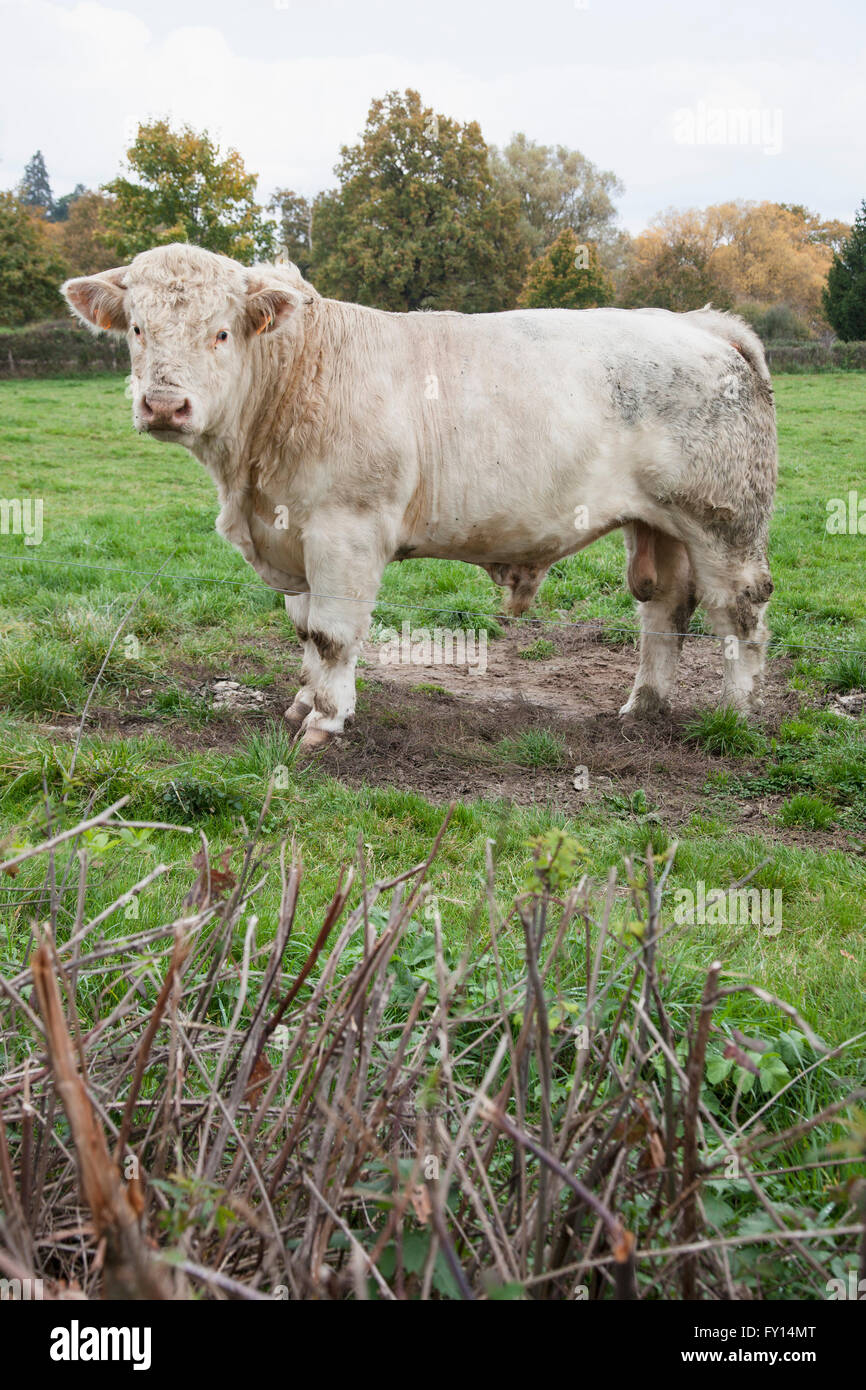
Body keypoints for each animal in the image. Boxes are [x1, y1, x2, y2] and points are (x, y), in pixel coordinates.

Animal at [62, 244, 777, 747]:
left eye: (221, 332)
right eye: (136, 329)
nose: (163, 404)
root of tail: (700, 323)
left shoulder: (344, 529)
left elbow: (331, 634)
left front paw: (325, 722)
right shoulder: (292, 531)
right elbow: (304, 629)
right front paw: (300, 702)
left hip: (723, 522)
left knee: (739, 610)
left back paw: (736, 714)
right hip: (660, 524)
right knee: (665, 609)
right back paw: (642, 708)